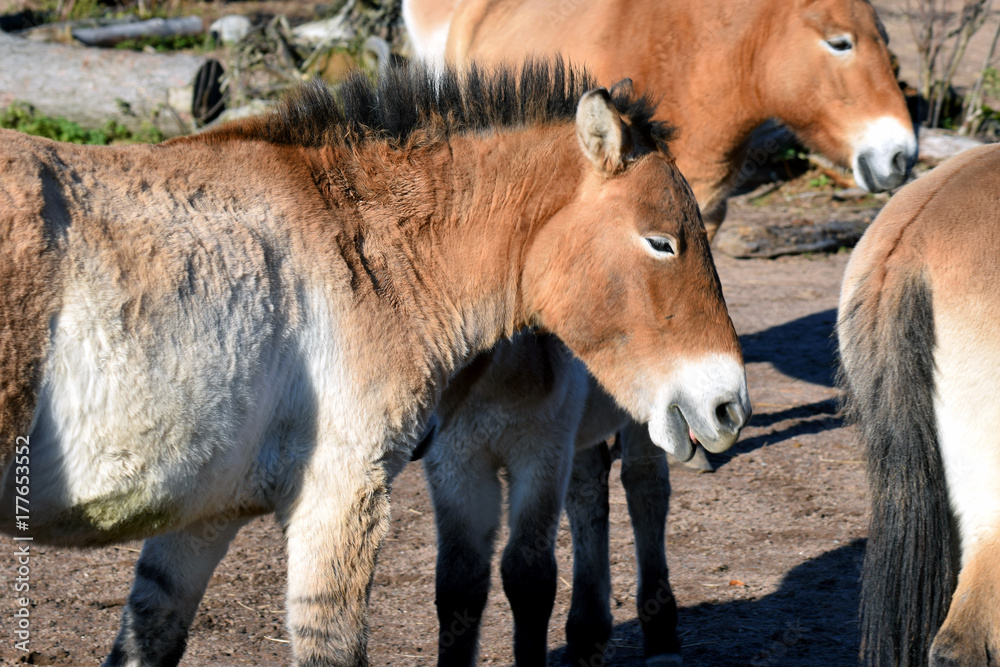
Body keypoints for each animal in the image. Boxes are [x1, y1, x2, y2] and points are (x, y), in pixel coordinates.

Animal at [0, 60, 751, 666]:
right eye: (662, 242)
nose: (730, 405)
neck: (360, 245)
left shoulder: (205, 513)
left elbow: (146, 639)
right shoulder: (340, 494)